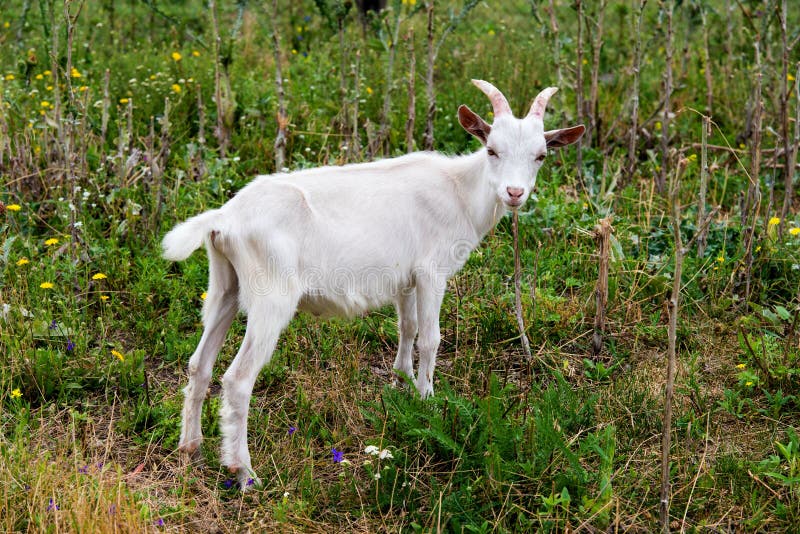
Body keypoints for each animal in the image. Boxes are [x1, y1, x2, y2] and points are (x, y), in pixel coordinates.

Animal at [162, 80, 584, 488]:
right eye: (492, 149)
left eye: (540, 155)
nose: (514, 193)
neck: (460, 192)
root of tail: (224, 218)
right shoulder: (431, 272)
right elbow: (431, 338)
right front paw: (428, 399)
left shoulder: (405, 278)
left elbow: (407, 327)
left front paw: (401, 385)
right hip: (271, 298)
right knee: (237, 380)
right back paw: (244, 472)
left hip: (226, 286)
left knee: (199, 364)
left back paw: (190, 448)